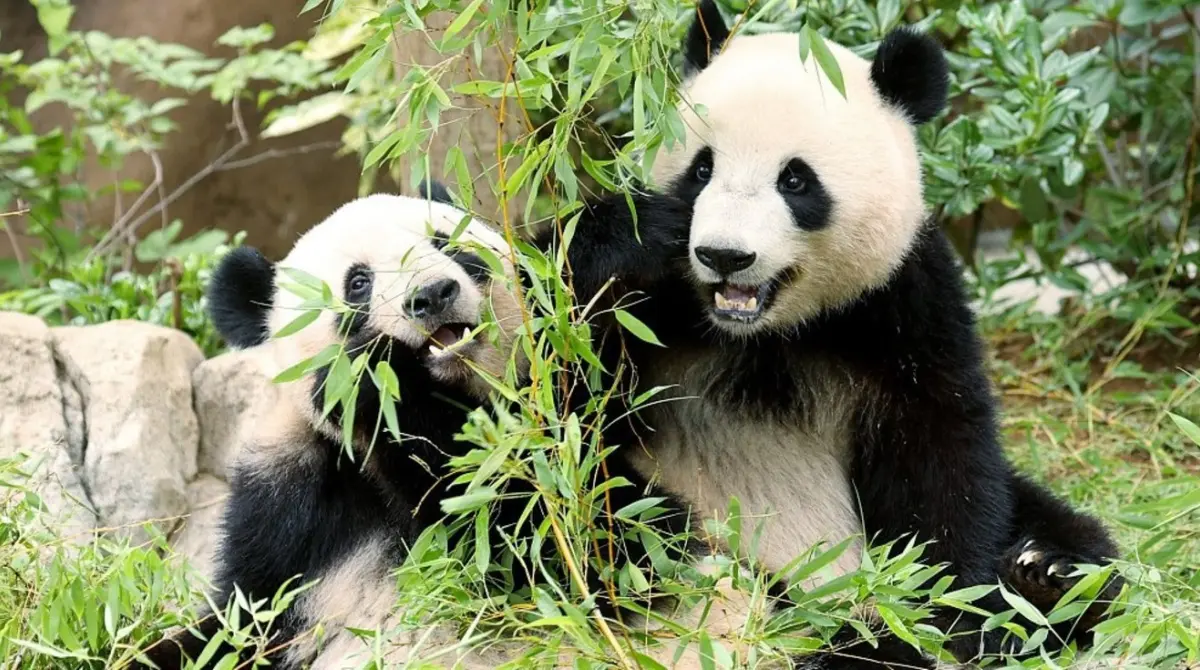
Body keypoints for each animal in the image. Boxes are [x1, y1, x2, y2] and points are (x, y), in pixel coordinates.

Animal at [515, 2, 1124, 667]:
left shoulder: (902, 302)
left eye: (796, 181)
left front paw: (956, 615)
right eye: (702, 168)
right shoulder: (638, 315)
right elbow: (541, 402)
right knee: (619, 521)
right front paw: (630, 236)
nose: (724, 256)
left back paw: (1044, 576)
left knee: (1068, 534)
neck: (760, 332)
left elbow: (939, 457)